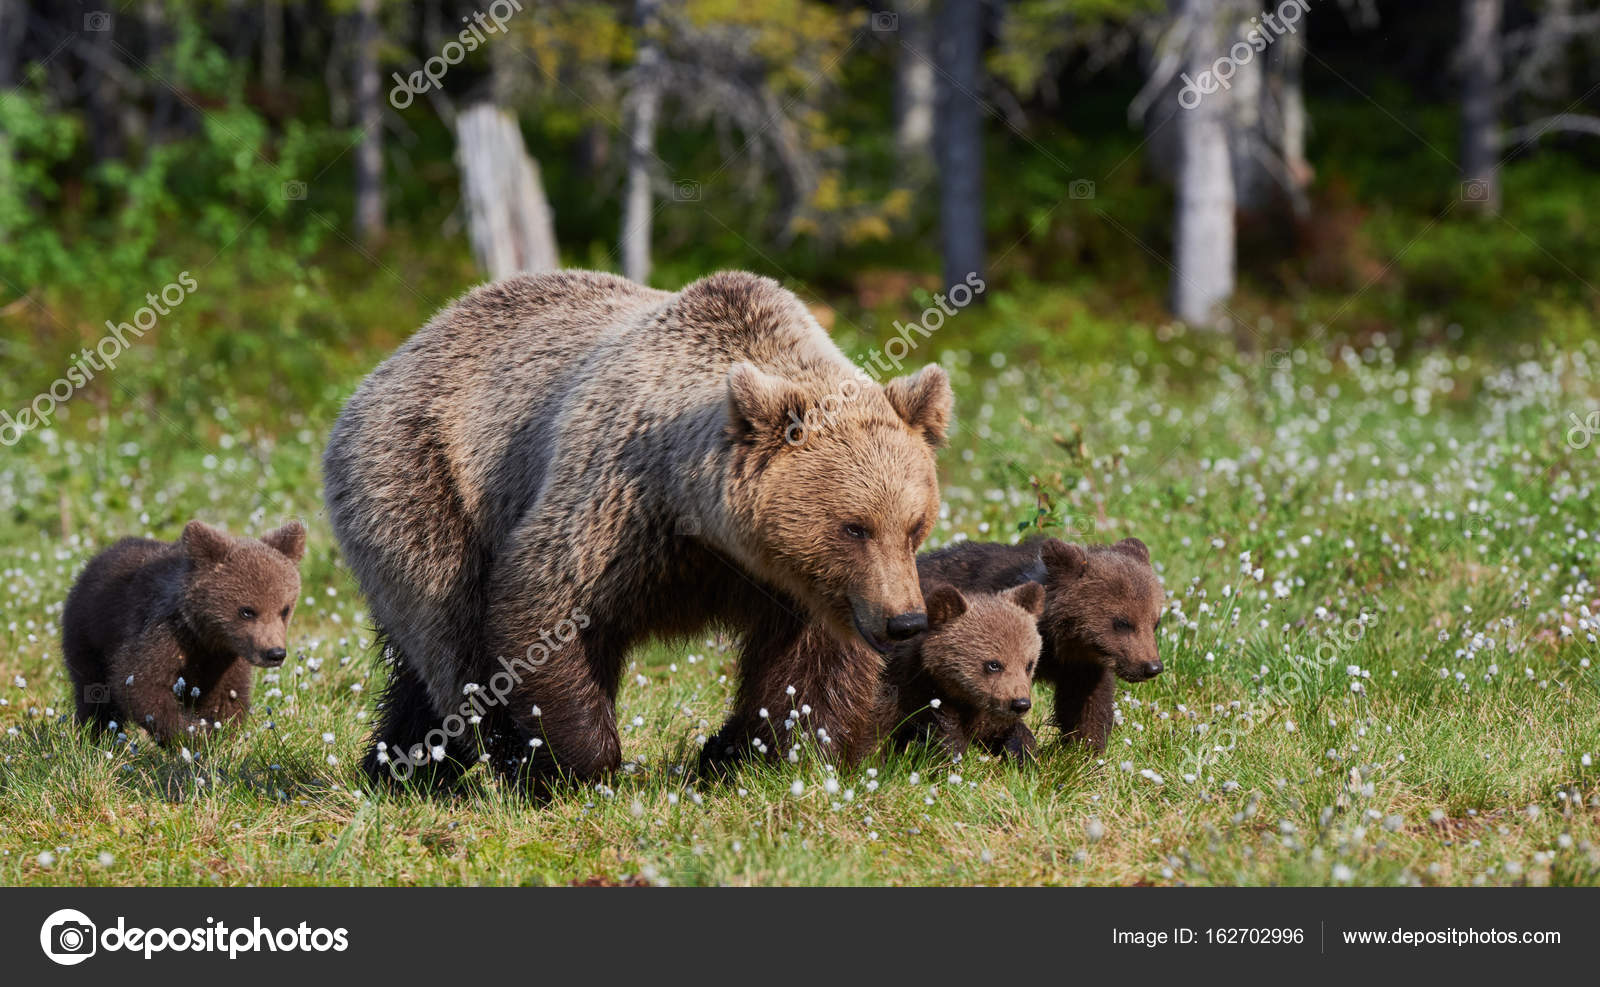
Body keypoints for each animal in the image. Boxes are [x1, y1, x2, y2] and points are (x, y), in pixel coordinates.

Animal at [61, 519, 305, 746]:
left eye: (285, 609)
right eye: (247, 611)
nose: (274, 653)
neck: (205, 637)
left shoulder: (225, 658)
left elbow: (227, 697)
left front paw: (217, 737)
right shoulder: (162, 632)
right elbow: (141, 683)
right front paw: (191, 735)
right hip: (88, 636)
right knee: (95, 696)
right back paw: (97, 737)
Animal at [322, 270, 952, 791]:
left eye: (914, 525)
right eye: (854, 527)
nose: (904, 621)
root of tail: (398, 356)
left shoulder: (804, 588)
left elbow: (811, 670)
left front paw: (764, 754)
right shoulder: (618, 507)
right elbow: (542, 606)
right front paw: (576, 764)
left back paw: (398, 765)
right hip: (424, 482)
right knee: (452, 635)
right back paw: (478, 756)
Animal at [875, 582, 1045, 760]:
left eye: (1029, 664)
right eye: (994, 664)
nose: (1021, 704)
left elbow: (1010, 729)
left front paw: (1023, 754)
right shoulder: (914, 693)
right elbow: (945, 734)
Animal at [916, 536, 1164, 753]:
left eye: (1155, 622)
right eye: (1122, 622)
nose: (1152, 667)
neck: (1056, 643)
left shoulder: (1083, 666)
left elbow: (1088, 706)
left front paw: (1085, 753)